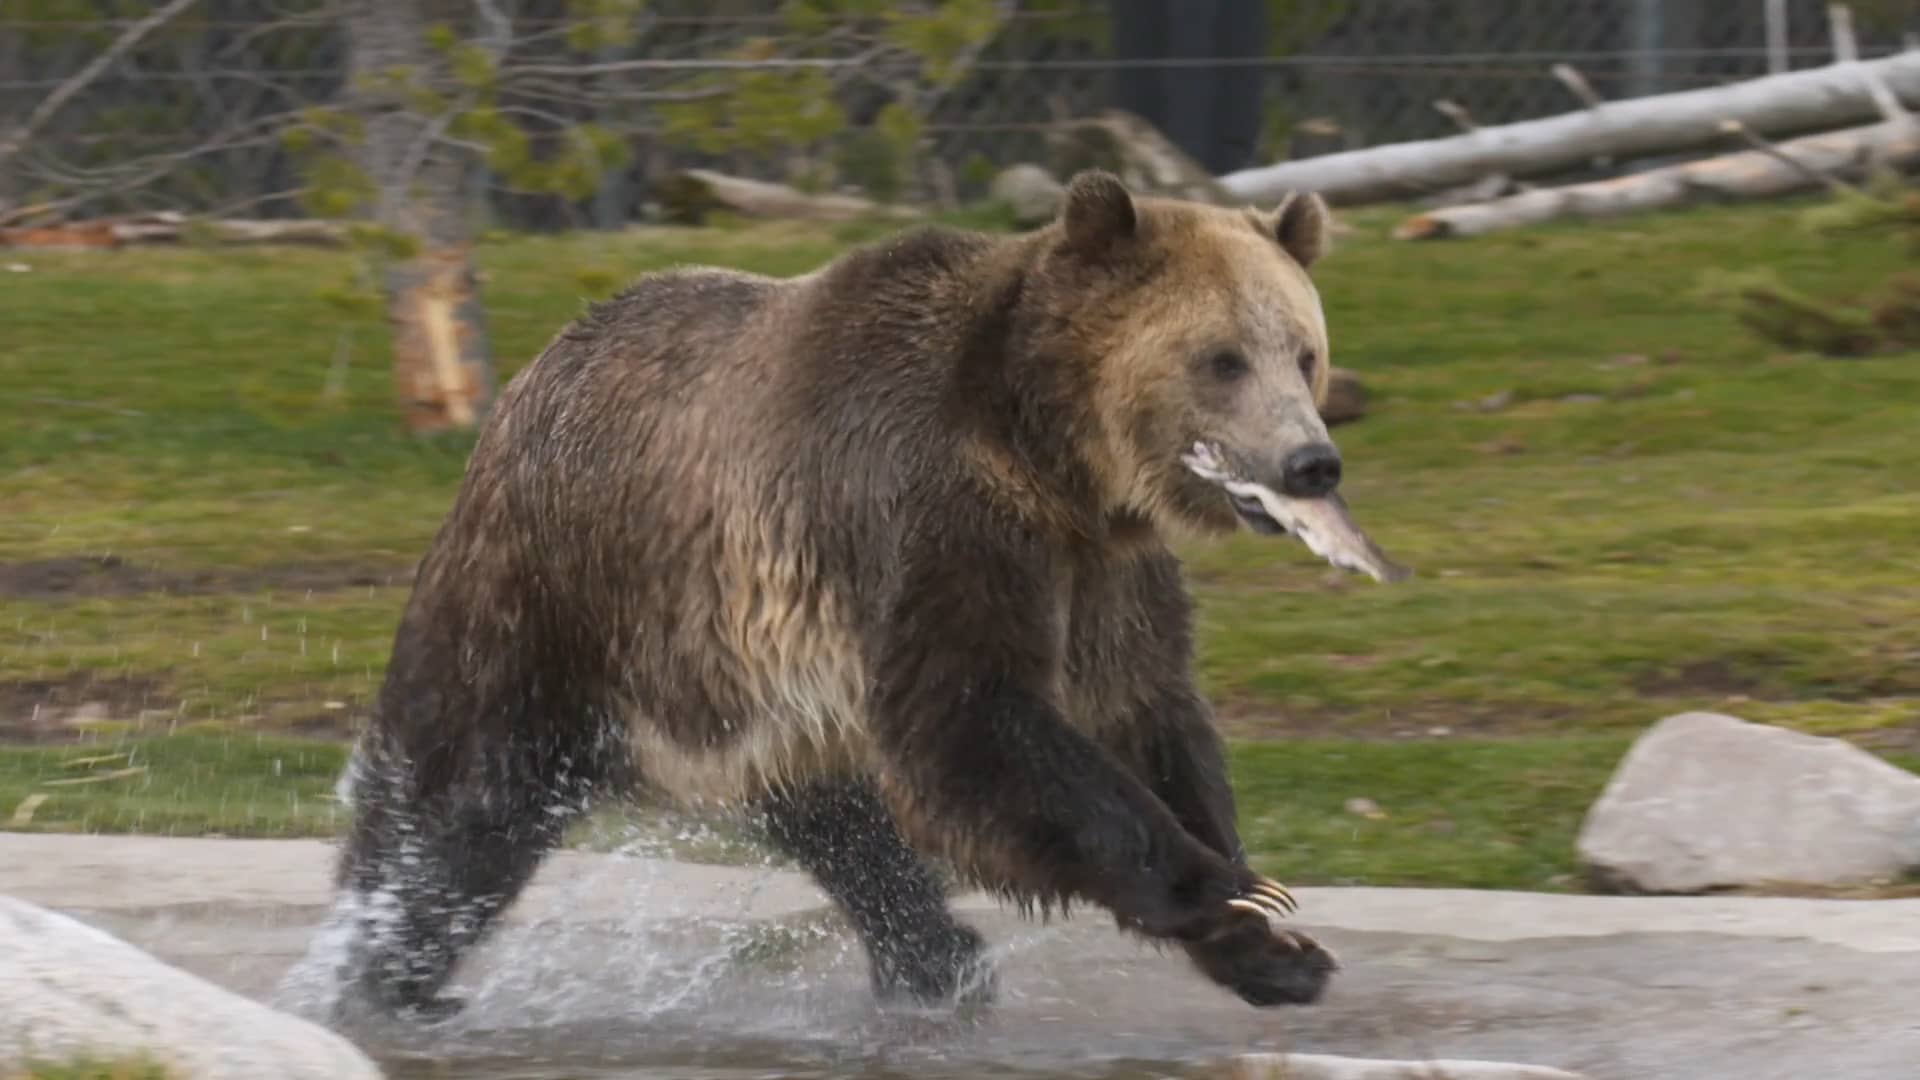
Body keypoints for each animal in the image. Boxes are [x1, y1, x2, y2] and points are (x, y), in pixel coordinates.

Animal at [319, 168, 1408, 1022]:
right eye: (1222, 357)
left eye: (1302, 351)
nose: (1311, 462)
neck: (1049, 453)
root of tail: (529, 382)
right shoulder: (927, 516)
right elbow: (976, 719)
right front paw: (1224, 889)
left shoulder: (1104, 568)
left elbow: (1143, 710)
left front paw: (1273, 939)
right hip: (563, 597)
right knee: (465, 802)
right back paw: (392, 972)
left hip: (755, 686)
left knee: (839, 821)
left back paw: (940, 966)